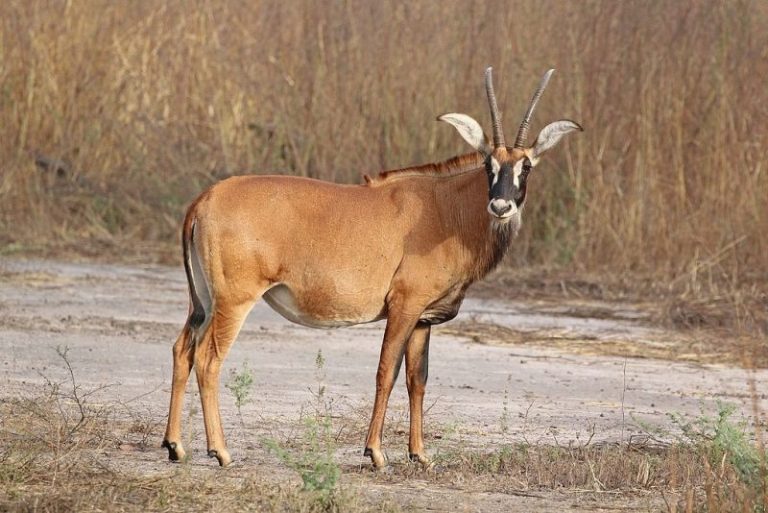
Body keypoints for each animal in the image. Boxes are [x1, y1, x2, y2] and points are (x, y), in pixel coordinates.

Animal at [162, 67, 582, 468]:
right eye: (487, 164)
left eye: (526, 166)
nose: (500, 206)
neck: (446, 209)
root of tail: (205, 199)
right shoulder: (403, 307)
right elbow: (386, 372)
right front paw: (376, 453)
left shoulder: (423, 319)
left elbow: (417, 379)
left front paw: (420, 455)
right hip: (234, 301)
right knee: (208, 359)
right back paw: (220, 451)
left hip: (202, 301)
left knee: (183, 349)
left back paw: (175, 446)